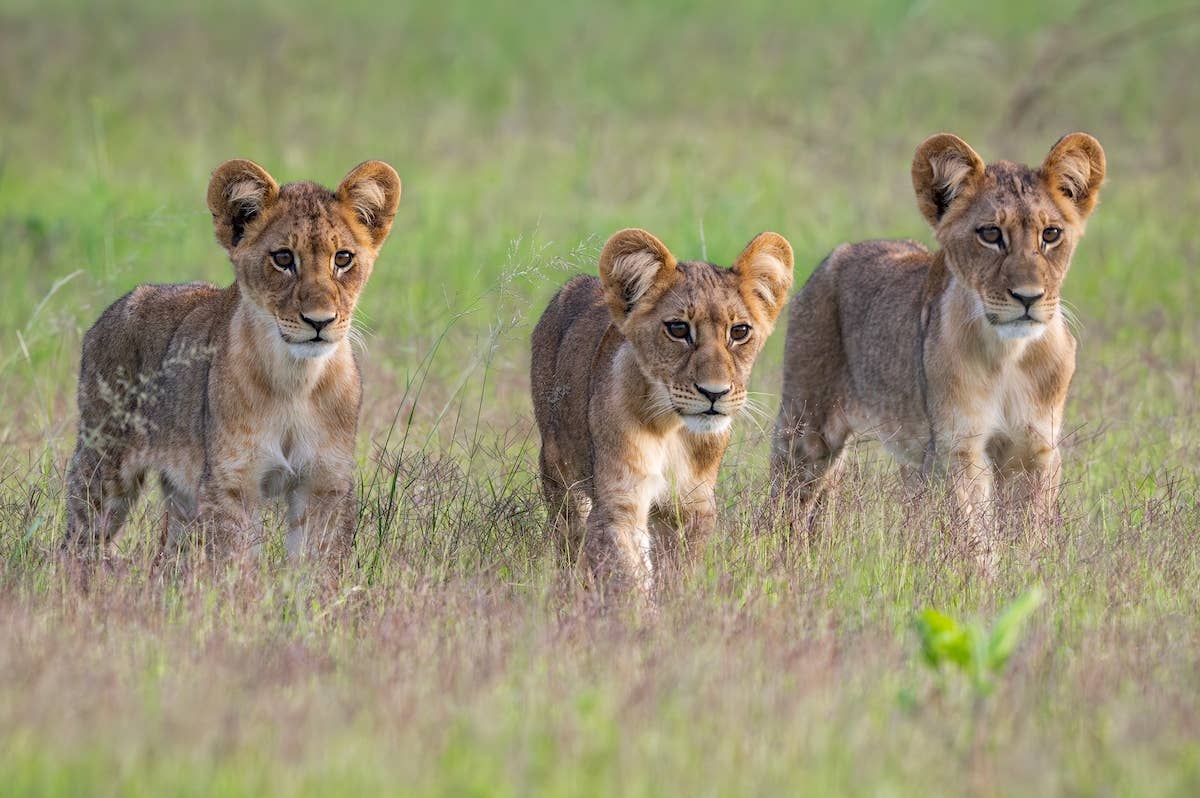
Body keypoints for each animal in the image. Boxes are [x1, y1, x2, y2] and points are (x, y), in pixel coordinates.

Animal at [64, 158, 402, 562]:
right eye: (283, 258)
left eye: (343, 258)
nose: (319, 321)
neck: (296, 380)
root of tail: (114, 309)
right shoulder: (231, 484)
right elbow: (233, 565)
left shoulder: (324, 485)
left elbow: (318, 565)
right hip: (103, 466)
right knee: (77, 541)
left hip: (183, 492)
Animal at [531, 228, 794, 598]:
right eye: (678, 329)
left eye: (739, 332)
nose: (714, 393)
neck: (672, 428)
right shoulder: (619, 505)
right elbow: (630, 578)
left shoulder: (691, 507)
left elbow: (677, 573)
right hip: (559, 469)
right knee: (569, 539)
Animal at [771, 133, 1105, 568]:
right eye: (990, 234)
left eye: (1051, 234)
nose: (1028, 297)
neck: (1009, 357)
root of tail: (837, 254)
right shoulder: (957, 448)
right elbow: (976, 535)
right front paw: (987, 582)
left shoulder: (1035, 447)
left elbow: (1030, 530)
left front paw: (1028, 575)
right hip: (807, 427)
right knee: (787, 499)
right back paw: (777, 557)